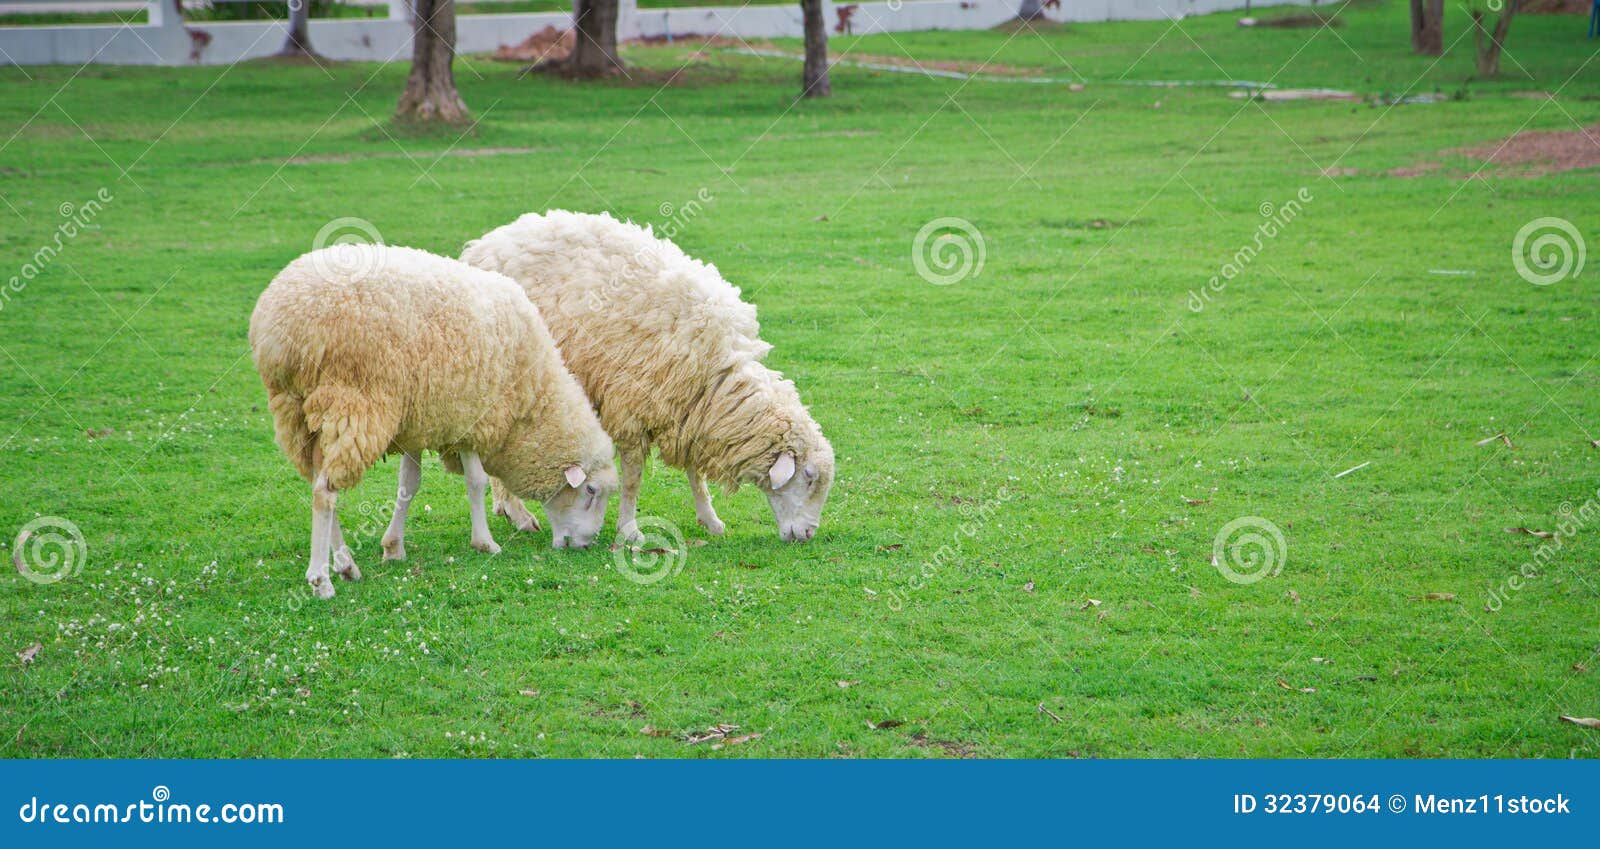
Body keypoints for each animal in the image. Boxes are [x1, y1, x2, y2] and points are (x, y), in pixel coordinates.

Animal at [249, 244, 619, 598]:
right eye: (590, 491)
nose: (586, 545)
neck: (530, 400)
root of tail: (279, 323)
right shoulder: (470, 415)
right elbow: (476, 482)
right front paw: (485, 542)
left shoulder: (420, 420)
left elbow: (408, 485)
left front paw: (393, 547)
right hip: (353, 404)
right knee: (325, 493)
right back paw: (321, 580)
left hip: (296, 412)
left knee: (318, 482)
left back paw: (346, 565)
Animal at [460, 210, 834, 543]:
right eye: (809, 477)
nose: (807, 535)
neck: (716, 377)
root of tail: (486, 242)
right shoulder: (631, 408)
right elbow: (632, 479)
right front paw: (629, 529)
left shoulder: (688, 411)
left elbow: (695, 472)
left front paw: (709, 518)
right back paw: (516, 512)